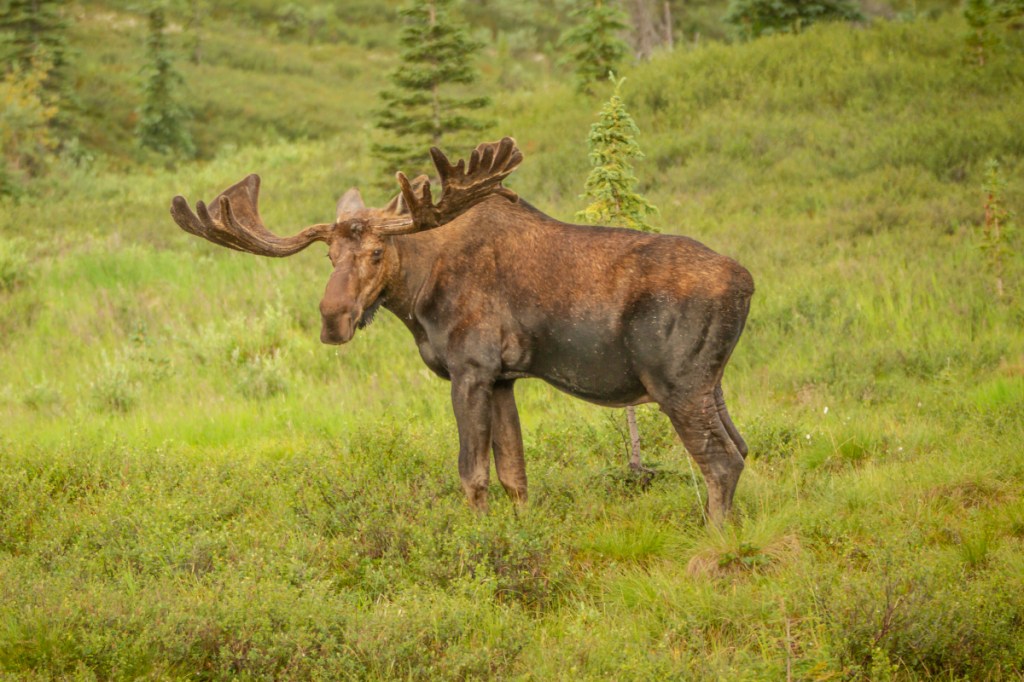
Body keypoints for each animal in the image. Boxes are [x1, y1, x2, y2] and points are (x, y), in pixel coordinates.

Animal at [170, 138, 754, 524]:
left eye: (377, 252)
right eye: (329, 256)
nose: (333, 319)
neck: (417, 295)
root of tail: (748, 284)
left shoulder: (470, 370)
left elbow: (471, 474)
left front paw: (478, 541)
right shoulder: (504, 378)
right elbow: (515, 474)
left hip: (677, 385)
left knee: (720, 462)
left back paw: (713, 542)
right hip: (713, 384)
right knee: (742, 449)